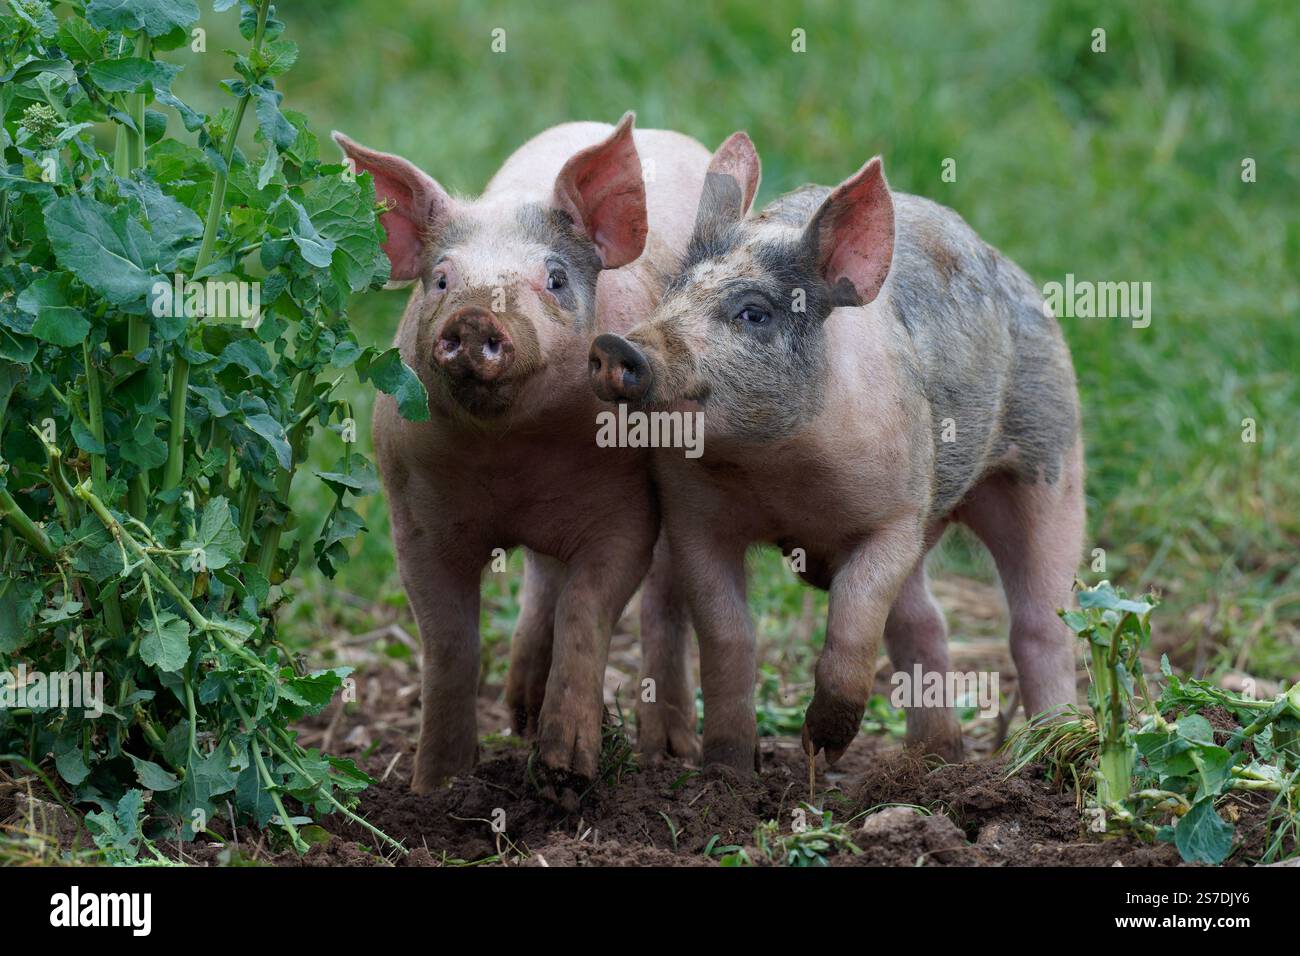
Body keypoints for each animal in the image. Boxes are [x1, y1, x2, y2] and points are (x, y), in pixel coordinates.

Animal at [333, 115, 710, 798]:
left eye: (555, 279)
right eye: (442, 279)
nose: (475, 318)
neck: (511, 455)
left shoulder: (625, 514)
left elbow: (588, 611)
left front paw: (565, 775)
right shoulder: (413, 517)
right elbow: (449, 643)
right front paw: (435, 788)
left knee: (663, 598)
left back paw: (670, 752)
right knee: (542, 581)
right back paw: (521, 715)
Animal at [588, 133, 1084, 770]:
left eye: (754, 312)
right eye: (673, 293)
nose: (616, 345)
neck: (776, 469)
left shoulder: (898, 512)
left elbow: (853, 616)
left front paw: (819, 748)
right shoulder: (694, 517)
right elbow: (728, 637)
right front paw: (727, 767)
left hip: (1050, 454)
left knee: (1039, 622)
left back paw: (1055, 751)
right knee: (924, 620)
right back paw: (936, 761)